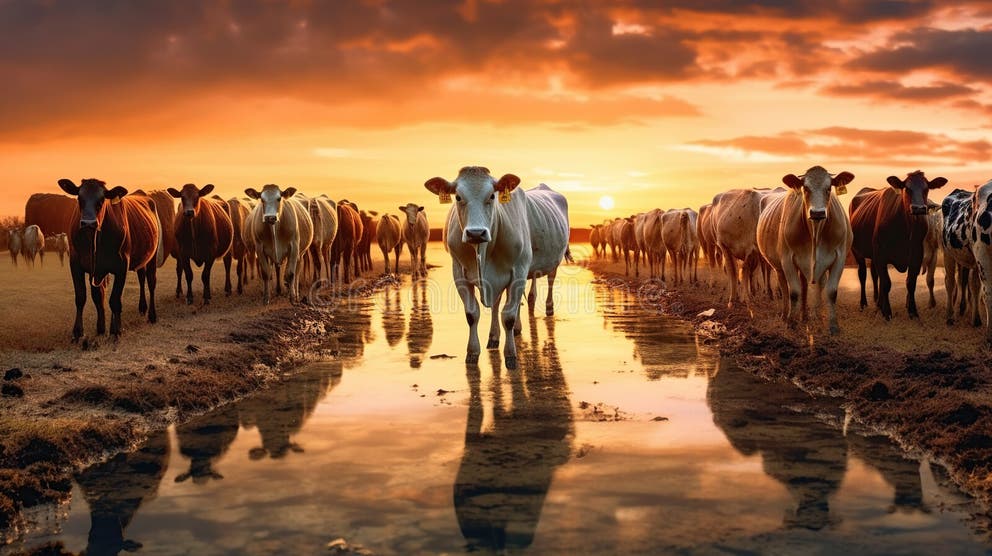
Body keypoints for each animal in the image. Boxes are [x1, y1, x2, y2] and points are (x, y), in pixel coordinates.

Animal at [57, 178, 160, 340]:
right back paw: (142, 307)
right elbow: (86, 297)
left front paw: (116, 330)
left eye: (102, 200)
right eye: (80, 198)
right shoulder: (77, 264)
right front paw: (85, 330)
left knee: (151, 282)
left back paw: (152, 315)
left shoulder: (122, 265)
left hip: (153, 256)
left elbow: (115, 300)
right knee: (141, 277)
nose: (88, 223)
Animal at [424, 167, 570, 368]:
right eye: (458, 197)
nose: (476, 233)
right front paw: (472, 353)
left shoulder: (518, 272)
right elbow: (472, 314)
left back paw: (548, 309)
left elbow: (507, 316)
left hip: (552, 260)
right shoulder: (459, 273)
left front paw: (510, 355)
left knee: (549, 281)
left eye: (492, 196)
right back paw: (498, 336)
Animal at [756, 166, 854, 334]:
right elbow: (794, 292)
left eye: (829, 188)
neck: (815, 231)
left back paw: (807, 316)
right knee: (785, 288)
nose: (817, 213)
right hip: (779, 267)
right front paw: (791, 323)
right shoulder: (787, 259)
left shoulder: (839, 259)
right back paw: (786, 315)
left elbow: (831, 292)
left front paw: (833, 325)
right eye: (805, 188)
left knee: (807, 285)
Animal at [850, 171, 947, 320]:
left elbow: (911, 283)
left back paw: (878, 302)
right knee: (863, 274)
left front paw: (913, 311)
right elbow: (886, 283)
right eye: (907, 188)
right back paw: (864, 303)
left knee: (874, 274)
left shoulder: (916, 256)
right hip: (857, 251)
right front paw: (887, 312)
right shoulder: (881, 255)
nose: (918, 208)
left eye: (926, 189)